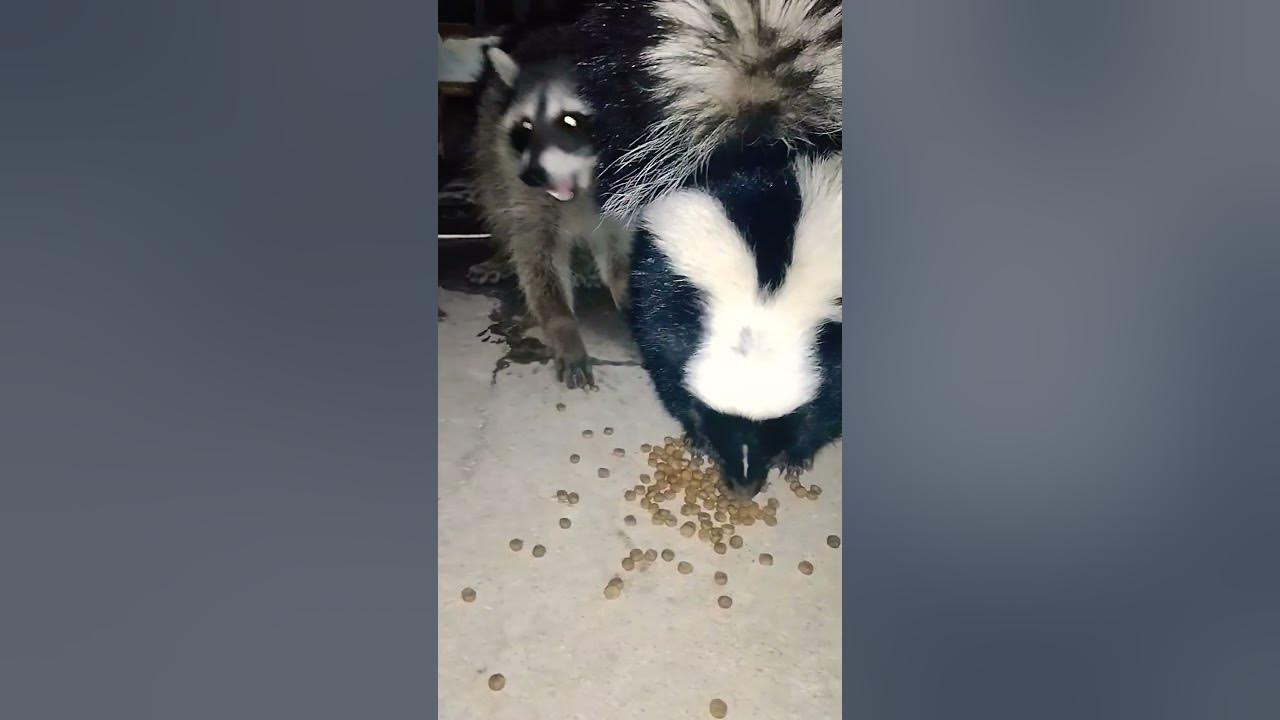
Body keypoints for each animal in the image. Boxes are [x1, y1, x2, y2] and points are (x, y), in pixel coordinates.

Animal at [469, 25, 633, 389]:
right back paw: (502, 254)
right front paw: (563, 326)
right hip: (490, 144)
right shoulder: (525, 189)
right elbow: (538, 259)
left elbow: (621, 254)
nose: (532, 175)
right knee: (495, 199)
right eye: (525, 127)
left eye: (570, 122)